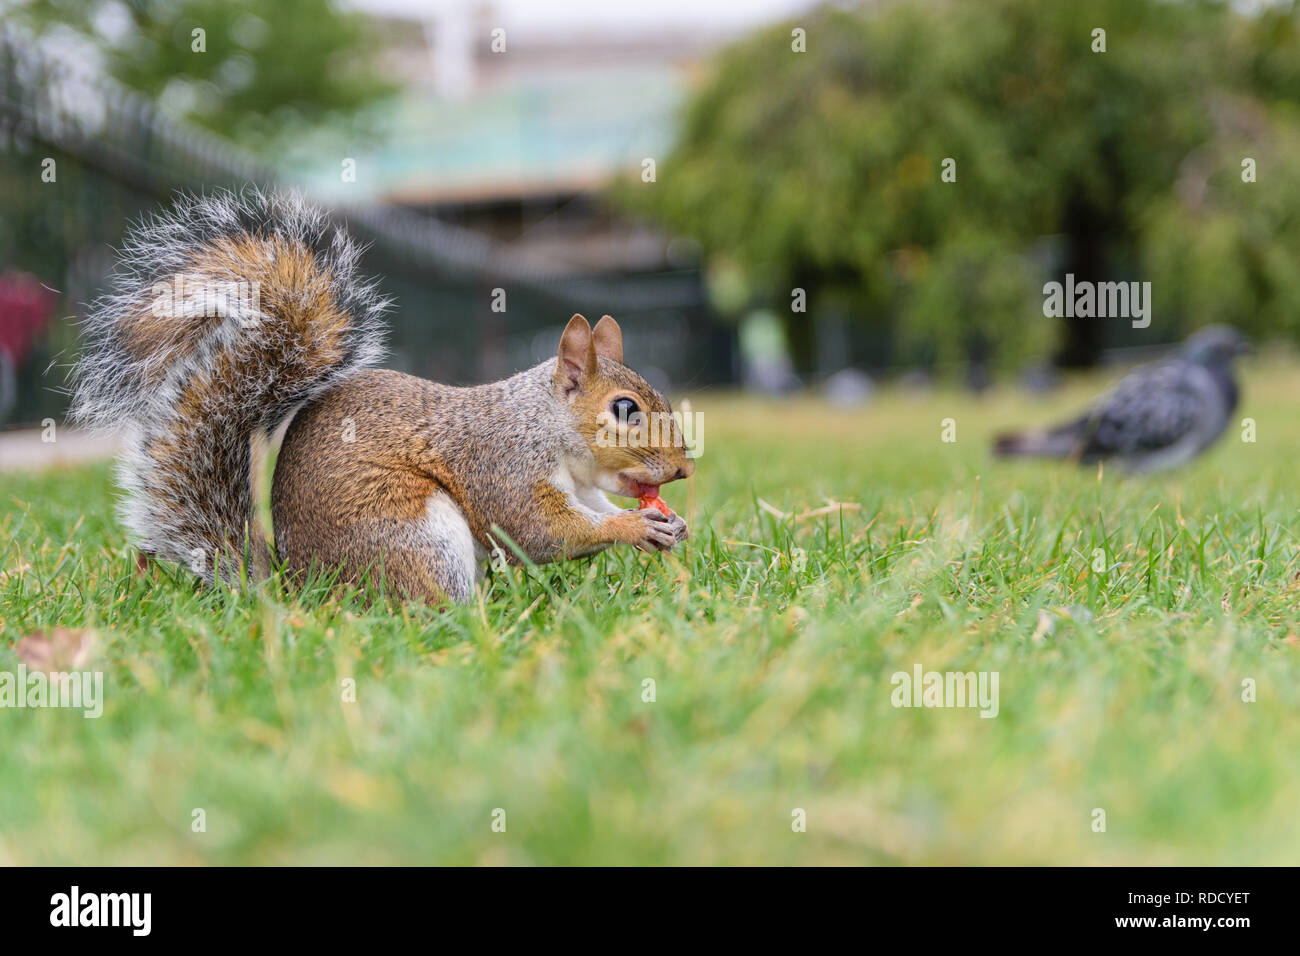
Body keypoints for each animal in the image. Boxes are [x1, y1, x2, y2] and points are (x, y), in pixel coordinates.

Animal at [70, 189, 694, 603]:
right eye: (624, 410)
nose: (684, 469)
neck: (544, 427)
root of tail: (301, 589)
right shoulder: (503, 466)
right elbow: (538, 531)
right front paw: (631, 529)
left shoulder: (581, 487)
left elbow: (594, 509)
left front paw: (669, 525)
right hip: (413, 535)